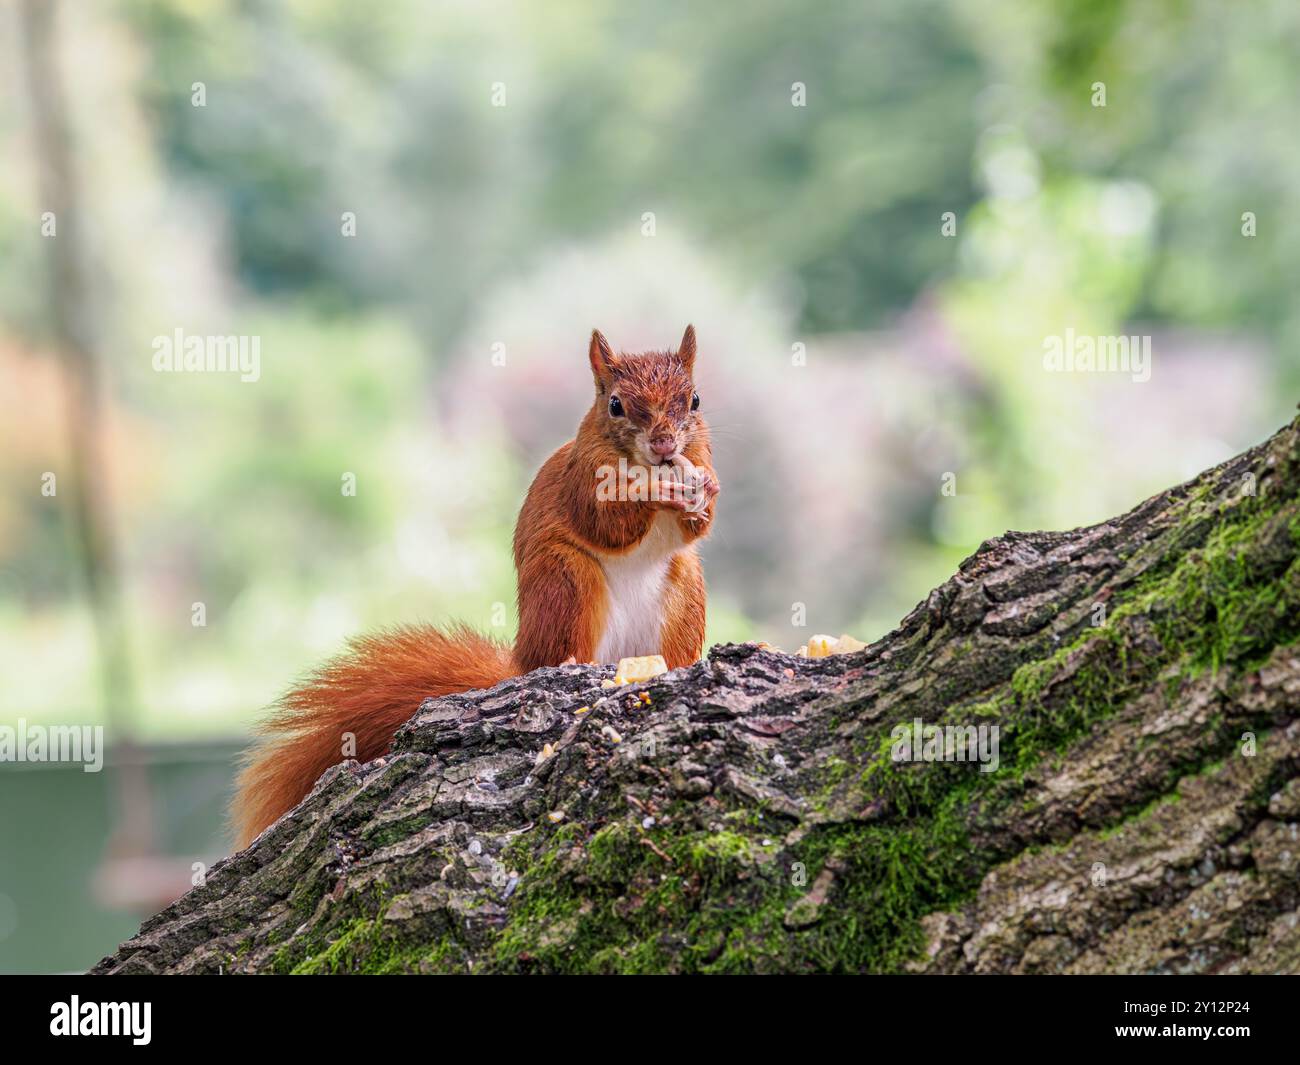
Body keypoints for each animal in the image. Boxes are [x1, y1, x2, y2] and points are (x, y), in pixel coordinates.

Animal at [232, 325, 719, 848]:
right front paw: (656, 492)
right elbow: (607, 522)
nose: (665, 445)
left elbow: (696, 525)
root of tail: (523, 660)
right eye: (615, 405)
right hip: (566, 581)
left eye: (694, 399)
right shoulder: (583, 481)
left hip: (684, 593)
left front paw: (706, 488)